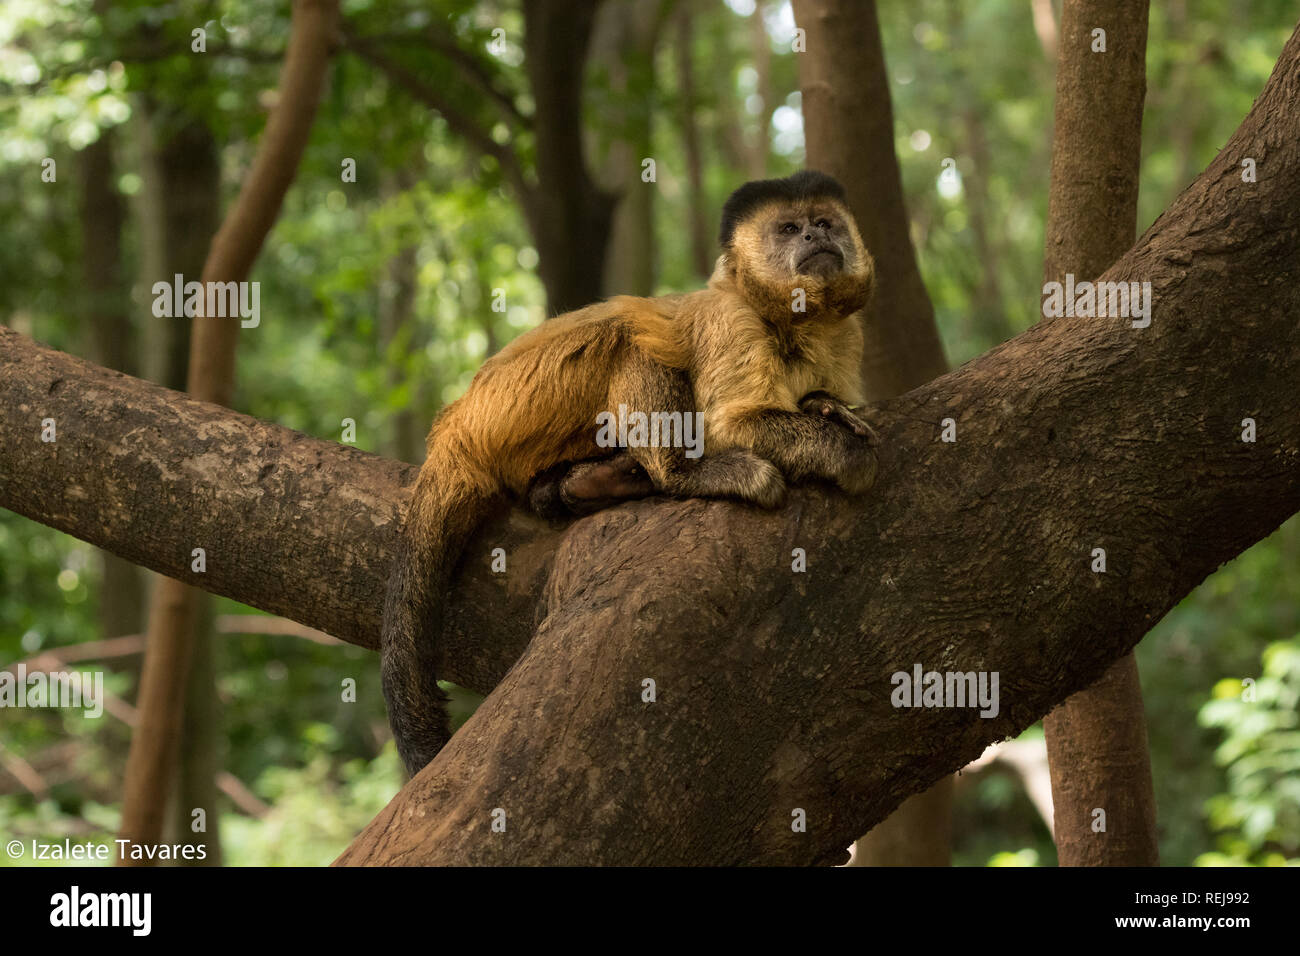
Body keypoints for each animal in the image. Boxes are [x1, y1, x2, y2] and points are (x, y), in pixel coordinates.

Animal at [382, 170, 879, 776]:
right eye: (788, 229)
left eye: (824, 222)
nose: (814, 236)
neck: (796, 323)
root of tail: (455, 420)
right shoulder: (730, 321)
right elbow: (730, 424)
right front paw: (843, 452)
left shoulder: (846, 336)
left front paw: (829, 409)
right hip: (512, 406)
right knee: (634, 339)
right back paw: (676, 474)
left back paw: (588, 485)